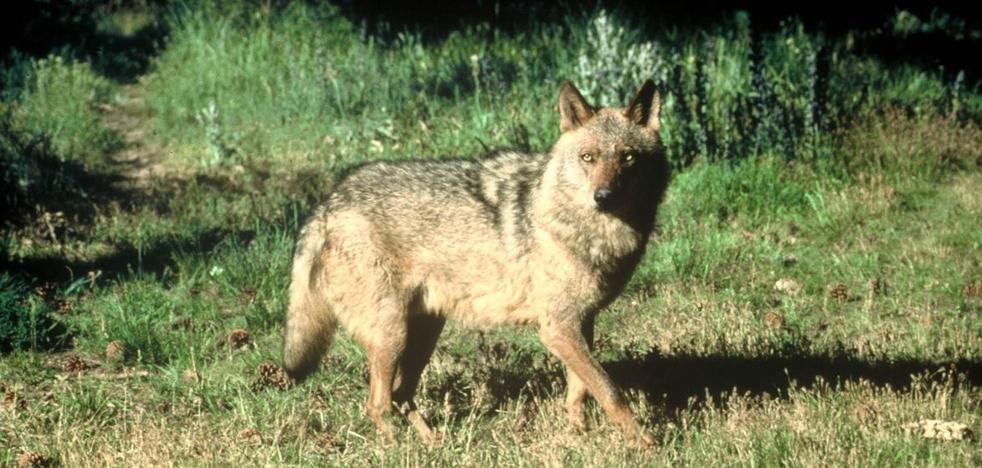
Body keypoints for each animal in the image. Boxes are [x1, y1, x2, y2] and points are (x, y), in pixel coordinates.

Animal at [283, 80, 671, 445]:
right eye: (588, 157)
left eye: (628, 158)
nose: (603, 197)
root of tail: (328, 203)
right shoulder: (557, 328)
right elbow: (610, 391)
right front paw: (643, 443)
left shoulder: (581, 323)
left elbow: (580, 391)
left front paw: (578, 435)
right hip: (392, 336)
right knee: (378, 404)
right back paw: (399, 448)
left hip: (423, 334)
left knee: (400, 395)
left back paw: (433, 443)